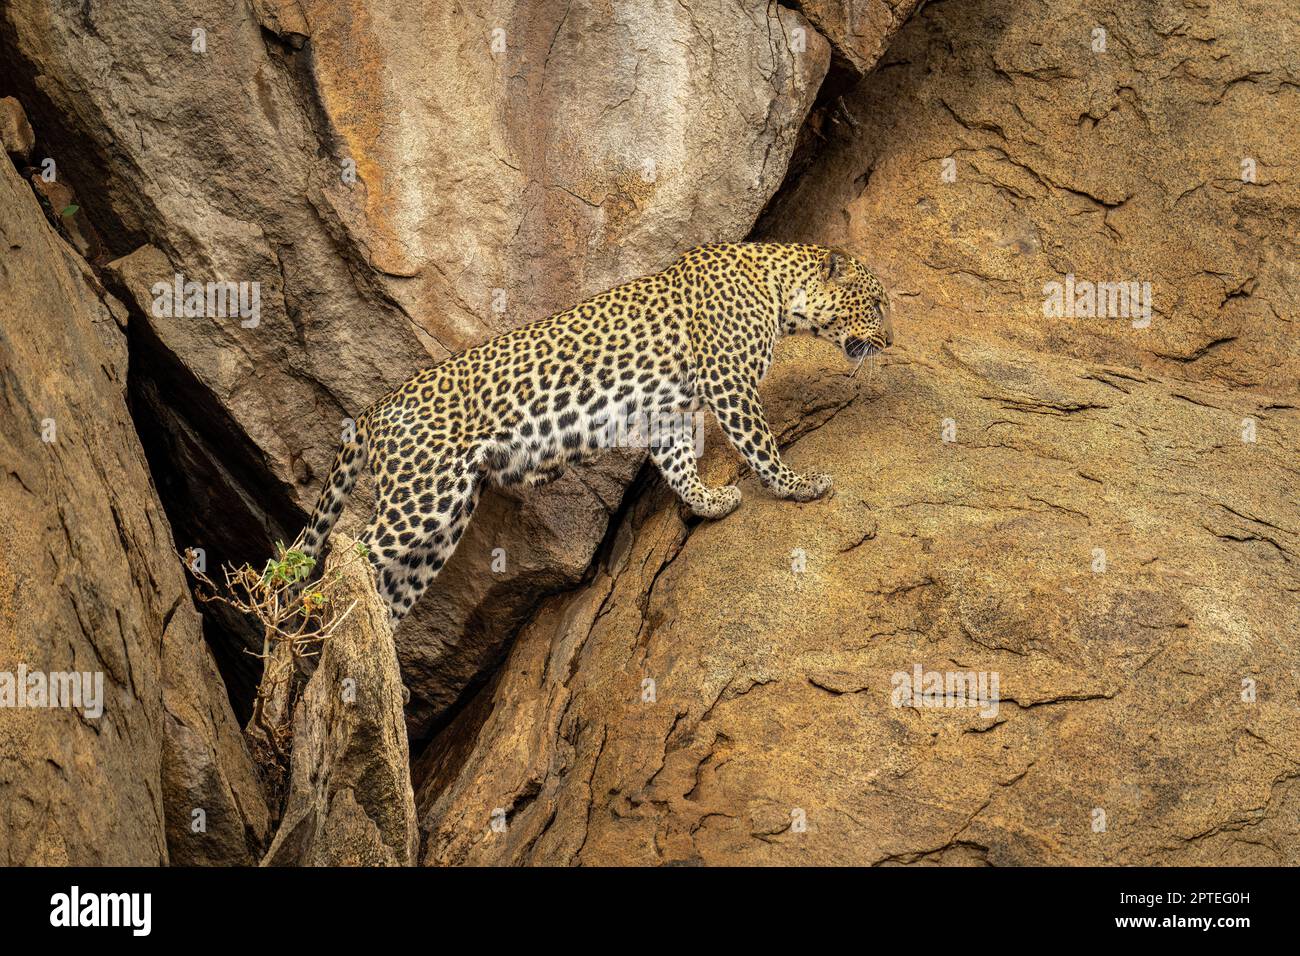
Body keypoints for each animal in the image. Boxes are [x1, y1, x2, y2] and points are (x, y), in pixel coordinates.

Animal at [292, 242, 893, 623]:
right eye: (876, 303)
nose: (891, 341)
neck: (780, 290)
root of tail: (375, 408)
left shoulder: (669, 413)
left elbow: (678, 462)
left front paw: (708, 501)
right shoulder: (731, 382)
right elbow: (760, 442)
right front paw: (799, 485)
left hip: (445, 520)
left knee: (389, 588)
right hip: (422, 497)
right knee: (341, 563)